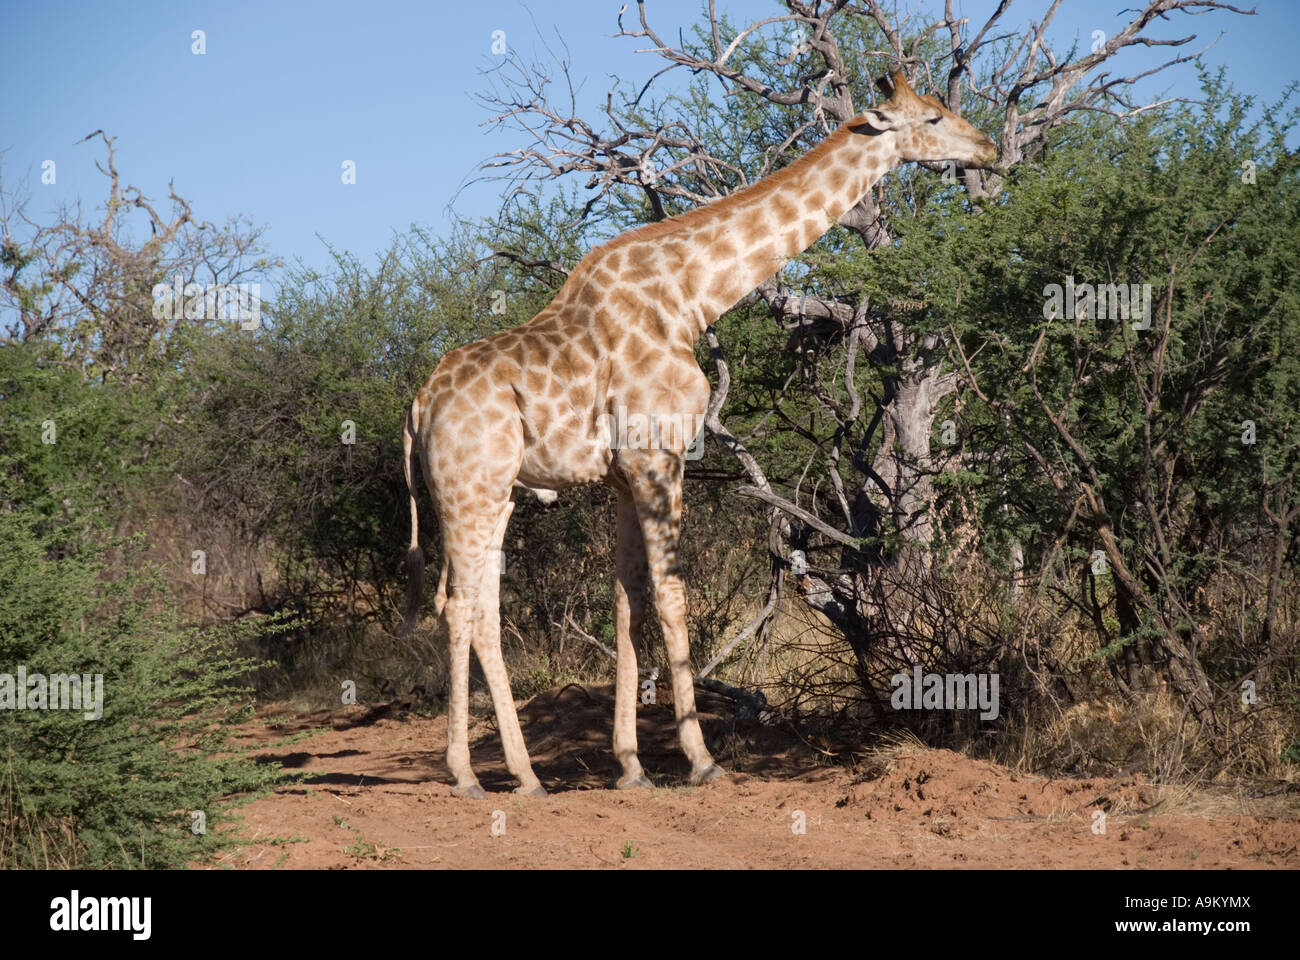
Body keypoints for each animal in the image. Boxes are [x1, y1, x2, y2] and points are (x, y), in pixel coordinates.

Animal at [402, 69, 998, 798]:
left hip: (484, 494)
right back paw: (488, 774)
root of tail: (418, 406)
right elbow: (673, 594)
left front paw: (631, 766)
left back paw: (498, 772)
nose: (989, 150)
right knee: (467, 606)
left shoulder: (624, 474)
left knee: (468, 602)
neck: (691, 296)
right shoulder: (660, 458)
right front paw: (701, 757)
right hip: (476, 488)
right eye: (934, 118)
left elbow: (626, 600)